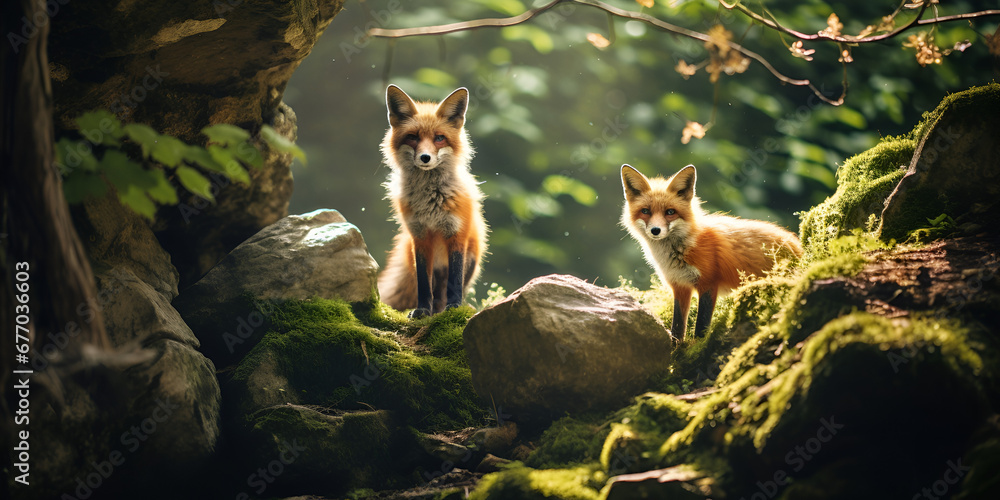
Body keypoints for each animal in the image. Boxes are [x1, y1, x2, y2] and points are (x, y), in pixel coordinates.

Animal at [377, 85, 488, 318]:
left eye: (439, 138)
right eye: (412, 137)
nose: (425, 158)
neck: (431, 205)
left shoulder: (457, 234)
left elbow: (455, 280)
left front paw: (454, 308)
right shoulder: (419, 237)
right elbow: (423, 283)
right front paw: (421, 310)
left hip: (473, 257)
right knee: (434, 291)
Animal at [621, 164, 803, 339]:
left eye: (670, 212)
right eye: (645, 211)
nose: (655, 230)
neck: (682, 249)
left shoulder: (708, 283)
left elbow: (701, 326)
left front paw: (698, 347)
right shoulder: (680, 286)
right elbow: (677, 328)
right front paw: (676, 348)